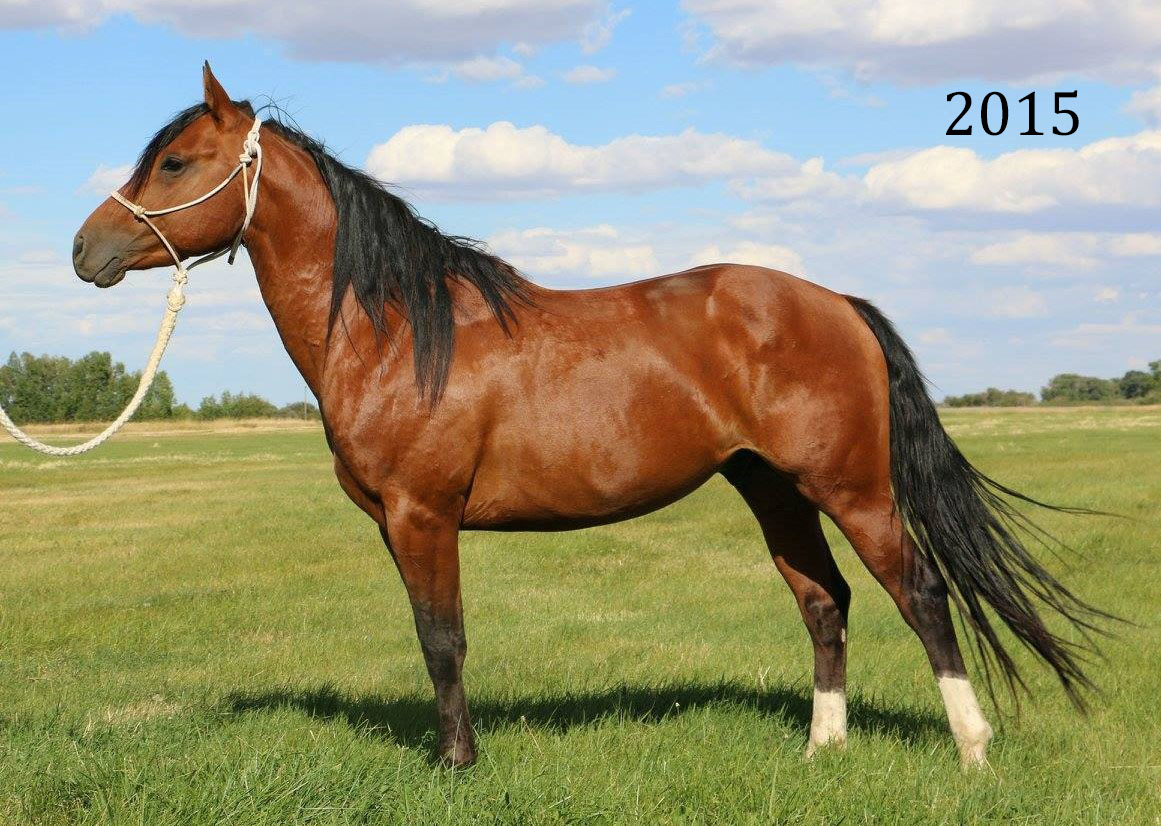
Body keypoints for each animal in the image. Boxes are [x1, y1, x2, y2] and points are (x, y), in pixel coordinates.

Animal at [71, 64, 1107, 768]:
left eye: (176, 160)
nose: (86, 249)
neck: (400, 330)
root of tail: (836, 304)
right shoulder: (398, 524)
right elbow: (433, 638)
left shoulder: (422, 515)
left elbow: (442, 640)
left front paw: (458, 763)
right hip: (772, 488)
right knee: (824, 602)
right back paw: (823, 749)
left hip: (850, 487)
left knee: (919, 593)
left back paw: (971, 748)